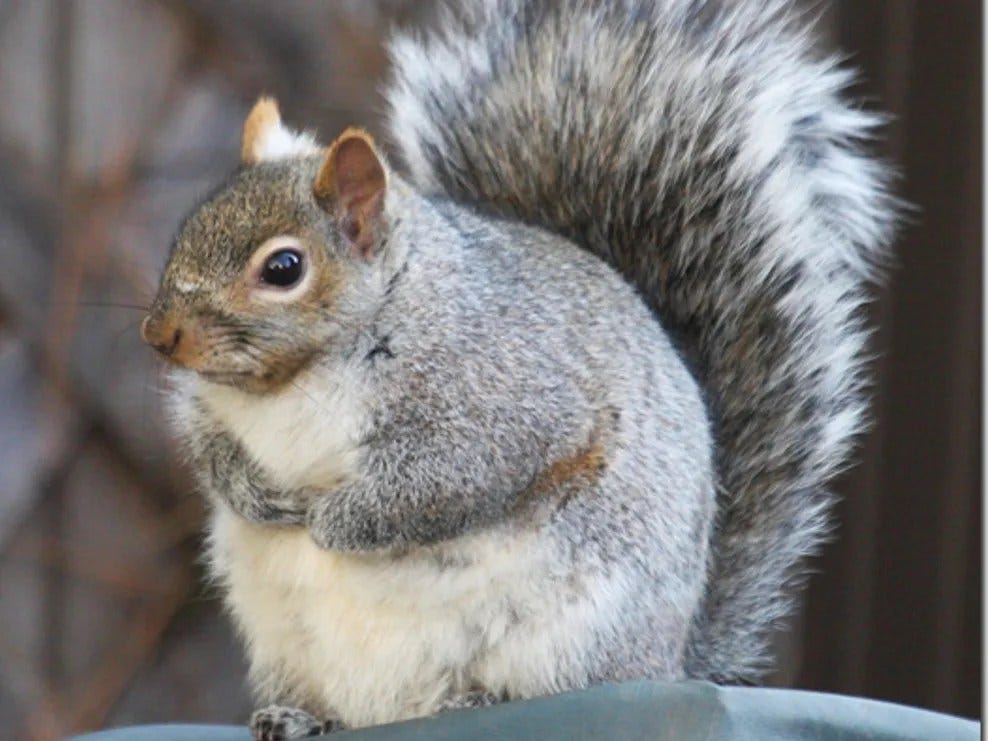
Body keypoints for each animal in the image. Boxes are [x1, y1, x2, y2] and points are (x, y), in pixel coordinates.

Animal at [141, 1, 895, 738]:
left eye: (283, 268)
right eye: (187, 230)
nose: (159, 335)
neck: (291, 379)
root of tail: (672, 660)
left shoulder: (502, 400)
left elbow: (442, 483)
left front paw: (334, 522)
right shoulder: (207, 407)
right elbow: (209, 449)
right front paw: (253, 493)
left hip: (576, 634)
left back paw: (470, 702)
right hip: (283, 641)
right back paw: (296, 716)